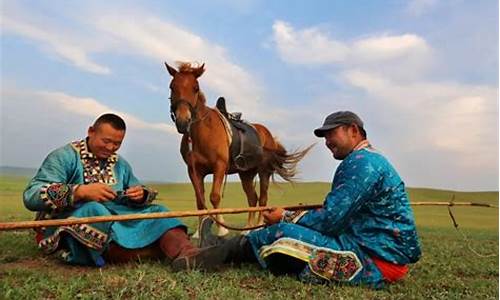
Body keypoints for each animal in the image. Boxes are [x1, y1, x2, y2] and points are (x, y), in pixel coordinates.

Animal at [164, 61, 312, 237]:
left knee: (263, 199)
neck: (202, 133)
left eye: (195, 87)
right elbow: (200, 201)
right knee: (252, 198)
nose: (182, 121)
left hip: (263, 172)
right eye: (172, 86)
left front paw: (222, 229)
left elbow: (214, 196)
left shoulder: (219, 167)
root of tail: (270, 137)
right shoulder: (194, 171)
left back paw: (258, 226)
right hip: (246, 173)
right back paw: (247, 229)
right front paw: (199, 233)